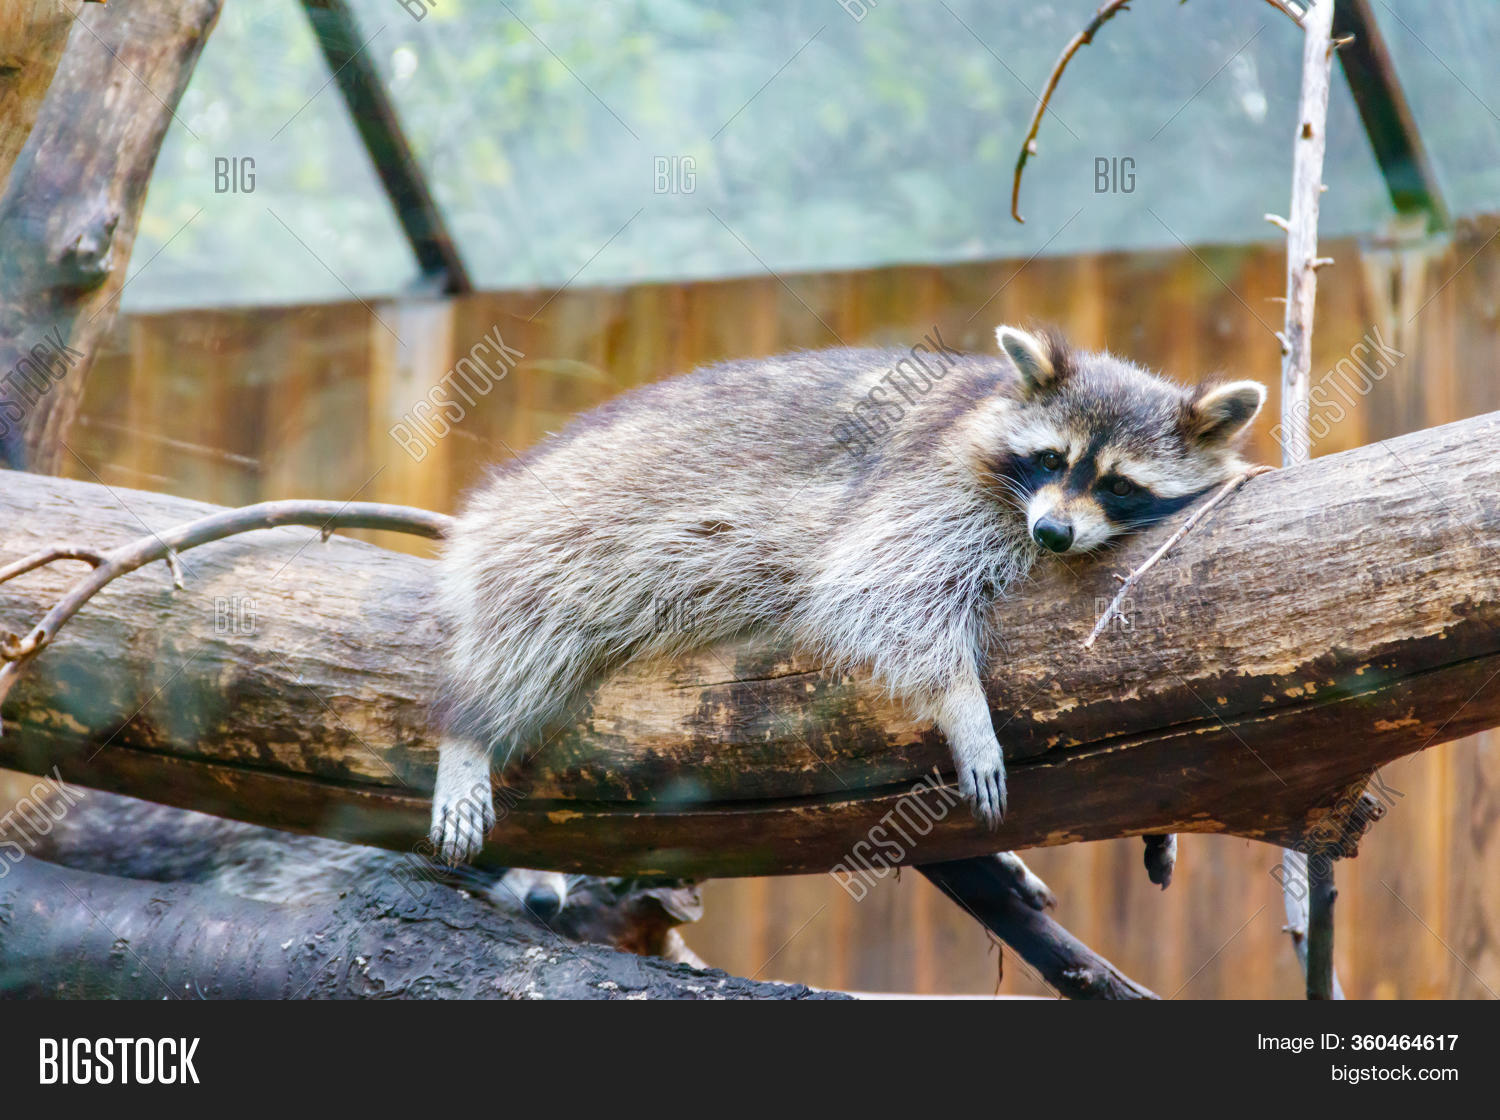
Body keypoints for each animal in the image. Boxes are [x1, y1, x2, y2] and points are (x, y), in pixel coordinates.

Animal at [430, 325, 1265, 863]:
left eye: (1119, 484)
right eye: (1051, 459)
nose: (1054, 534)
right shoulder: (926, 483)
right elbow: (878, 594)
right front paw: (963, 704)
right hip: (559, 535)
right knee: (528, 640)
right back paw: (471, 732)